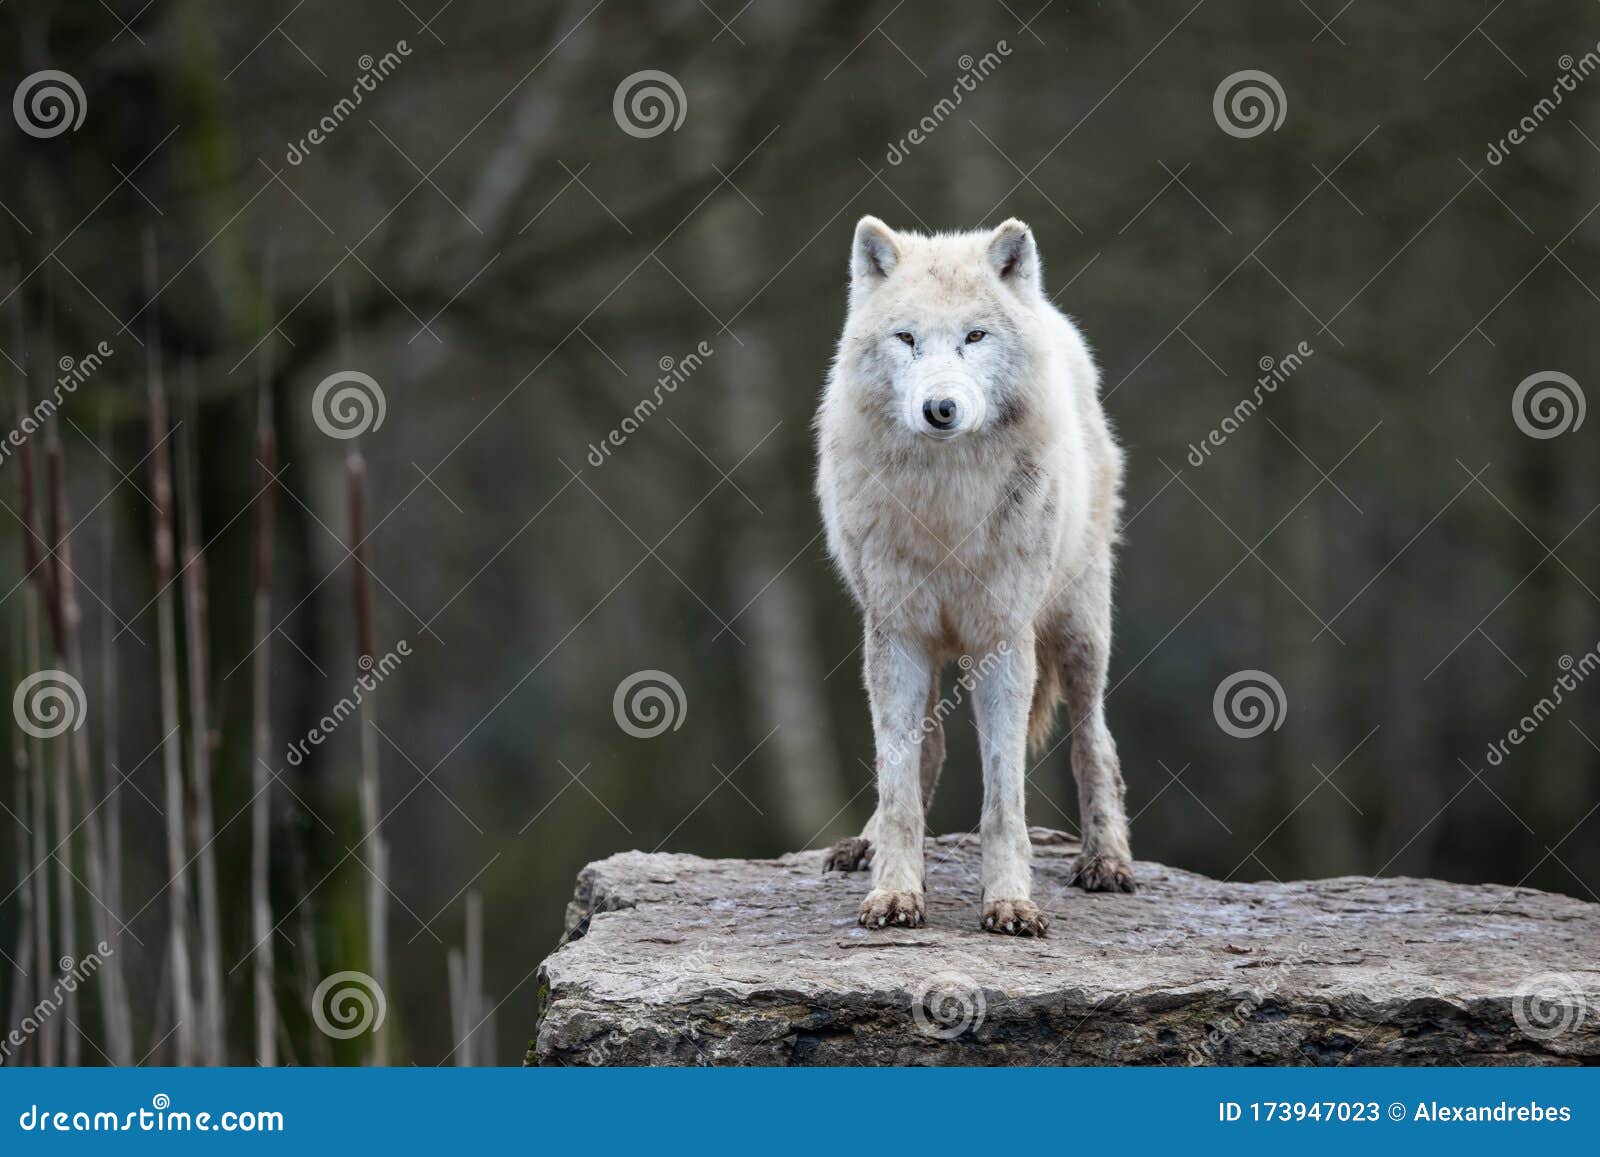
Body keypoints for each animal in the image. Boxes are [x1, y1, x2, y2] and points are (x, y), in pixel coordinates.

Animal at [814, 216, 1134, 937]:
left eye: (975, 337)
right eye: (907, 338)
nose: (940, 407)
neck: (946, 510)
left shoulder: (1002, 641)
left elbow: (1004, 800)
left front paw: (1010, 903)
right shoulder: (898, 634)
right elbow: (900, 785)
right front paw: (895, 893)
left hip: (1079, 631)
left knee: (1095, 741)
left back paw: (1105, 860)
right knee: (924, 752)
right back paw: (864, 846)